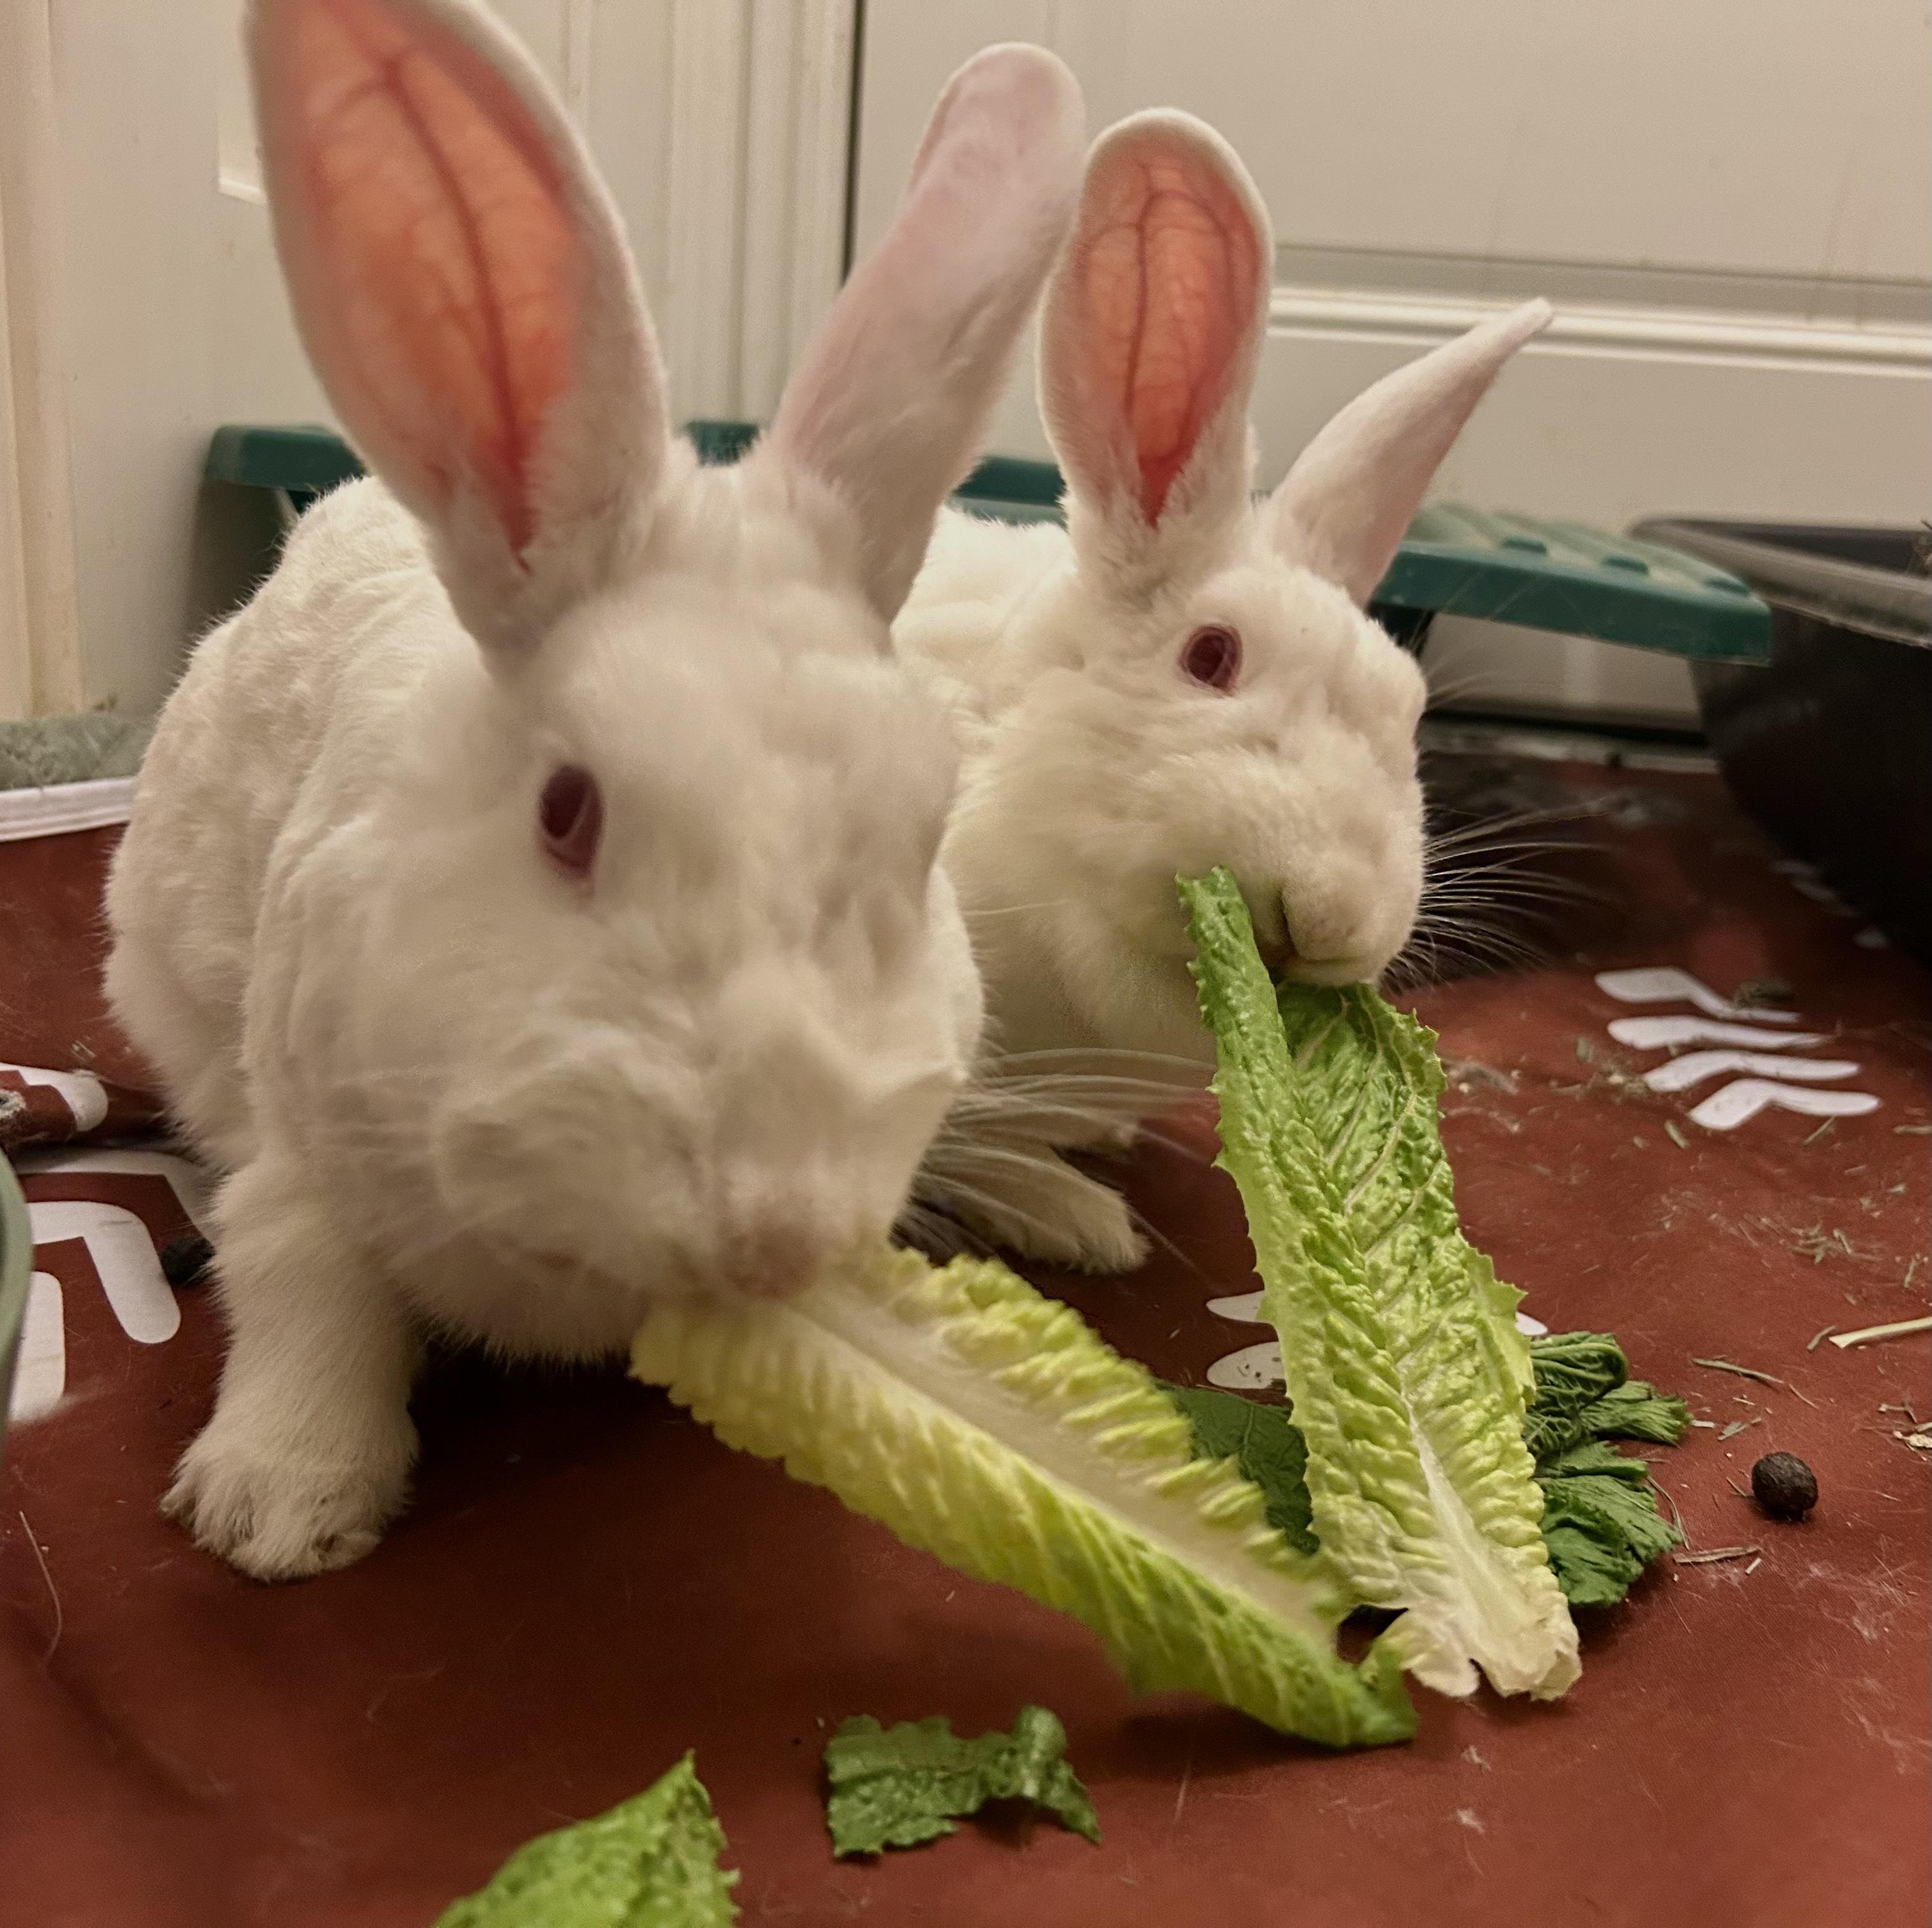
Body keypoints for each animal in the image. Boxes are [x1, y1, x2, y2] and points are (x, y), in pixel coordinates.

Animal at [102, 0, 1085, 1580]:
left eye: (926, 833)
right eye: (568, 812)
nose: (774, 1237)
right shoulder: (304, 1160)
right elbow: (305, 1286)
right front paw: (281, 1510)